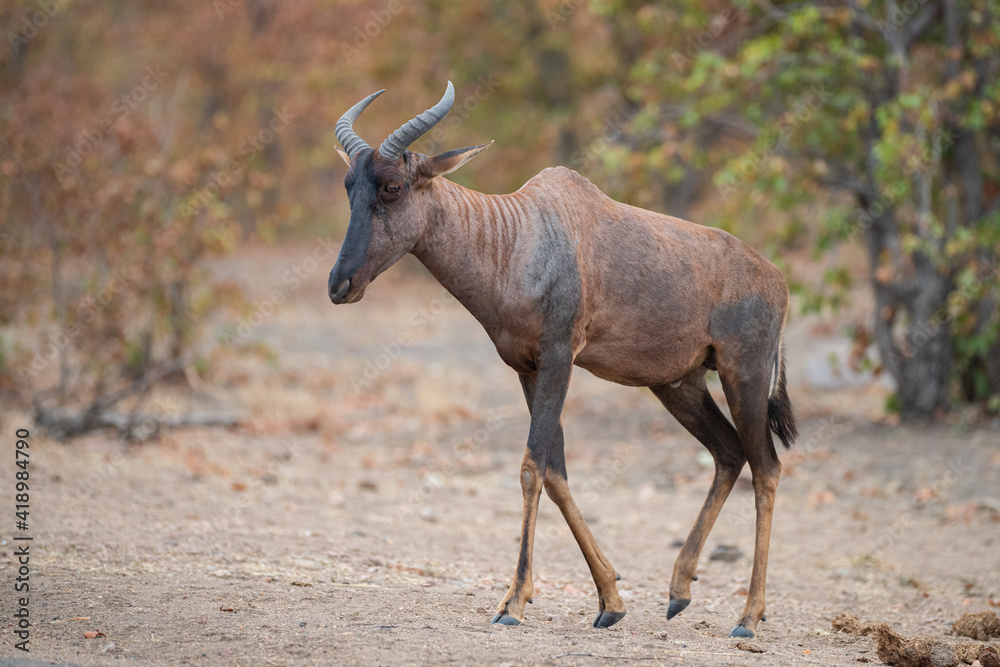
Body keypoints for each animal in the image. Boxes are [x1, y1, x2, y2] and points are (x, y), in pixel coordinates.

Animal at [328, 81, 797, 638]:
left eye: (393, 186)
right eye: (348, 184)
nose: (340, 285)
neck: (519, 236)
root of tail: (777, 279)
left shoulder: (559, 360)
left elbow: (532, 467)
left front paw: (512, 604)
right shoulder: (527, 370)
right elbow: (555, 472)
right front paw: (610, 601)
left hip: (742, 373)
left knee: (766, 468)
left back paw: (748, 617)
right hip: (678, 384)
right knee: (728, 453)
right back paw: (679, 591)